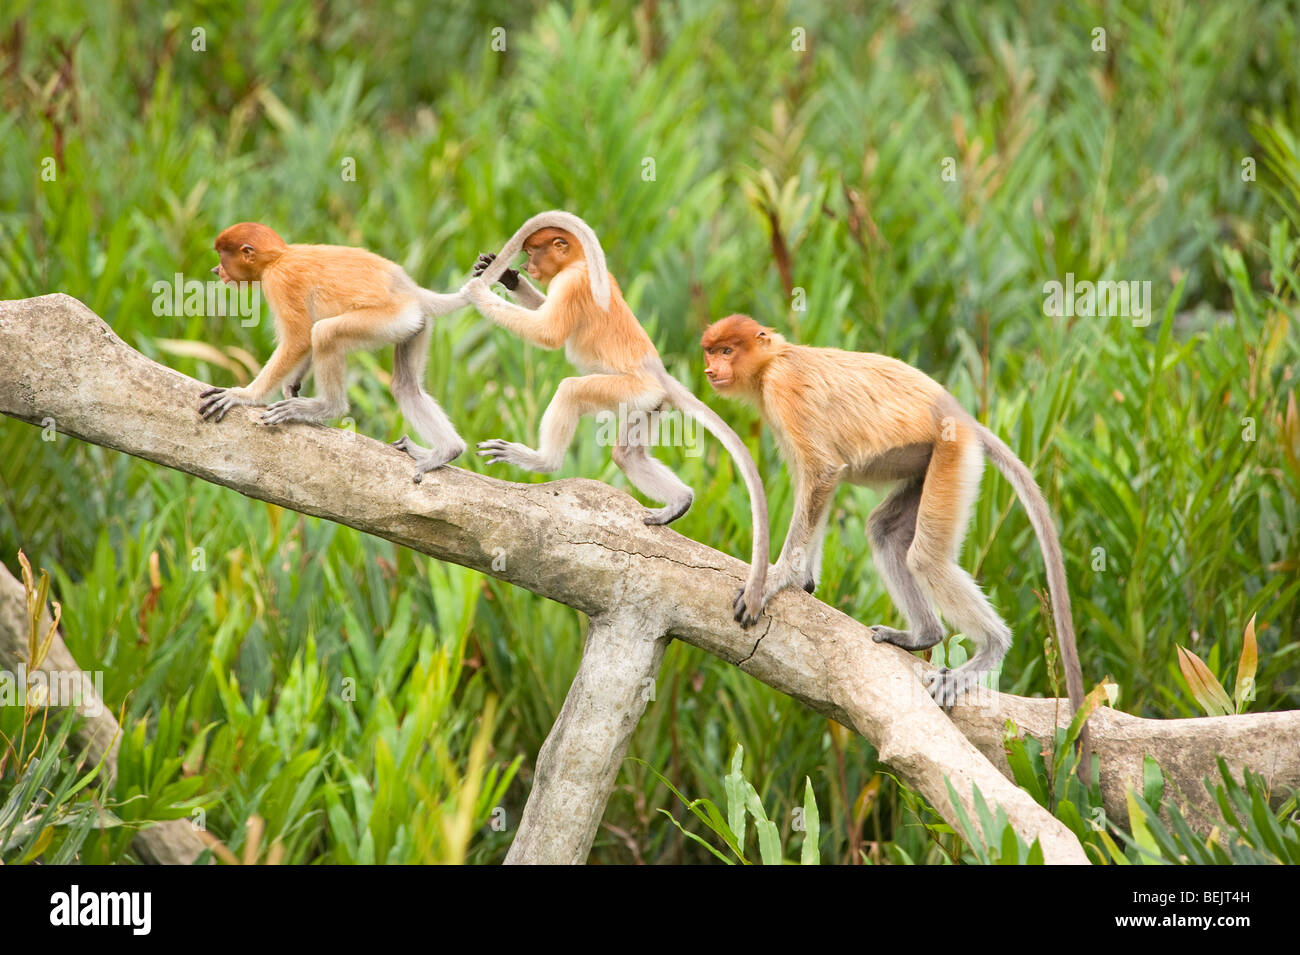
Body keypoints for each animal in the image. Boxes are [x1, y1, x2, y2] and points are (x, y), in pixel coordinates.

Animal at [198, 222, 468, 481]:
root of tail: (411, 290)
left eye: (223, 256)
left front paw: (243, 395)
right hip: (415, 324)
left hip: (390, 318)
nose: (215, 270)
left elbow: (299, 338)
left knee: (325, 333)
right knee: (406, 387)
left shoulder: (279, 281)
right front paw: (290, 386)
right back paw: (448, 450)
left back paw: (327, 407)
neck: (279, 256)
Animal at [462, 211, 770, 627]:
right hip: (647, 404)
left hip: (627, 388)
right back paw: (680, 501)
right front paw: (506, 276)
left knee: (572, 390)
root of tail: (657, 372)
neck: (579, 262)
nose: (527, 266)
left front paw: (480, 291)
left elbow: (549, 333)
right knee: (627, 455)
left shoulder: (572, 284)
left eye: (535, 250)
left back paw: (541, 460)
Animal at [699, 314, 1088, 749]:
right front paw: (803, 580)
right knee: (883, 532)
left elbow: (821, 474)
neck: (774, 360)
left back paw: (990, 648)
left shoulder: (785, 390)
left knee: (926, 559)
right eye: (711, 352)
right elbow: (818, 484)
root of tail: (964, 418)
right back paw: (923, 635)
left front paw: (774, 579)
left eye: (727, 351)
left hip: (953, 455)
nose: (711, 370)